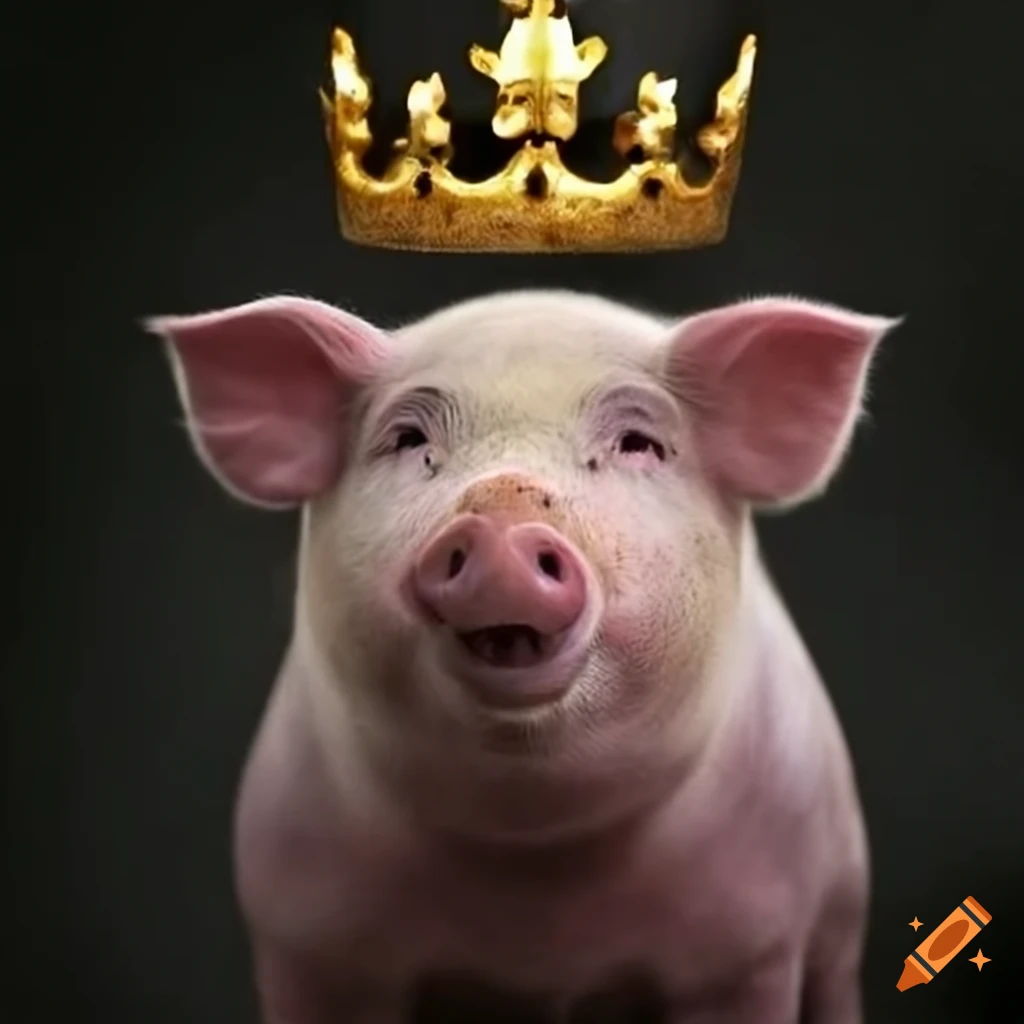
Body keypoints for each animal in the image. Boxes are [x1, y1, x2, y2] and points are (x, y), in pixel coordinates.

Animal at [148, 289, 898, 1024]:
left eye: (638, 444)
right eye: (409, 441)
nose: (501, 512)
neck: (533, 869)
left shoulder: (745, 953)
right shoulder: (313, 948)